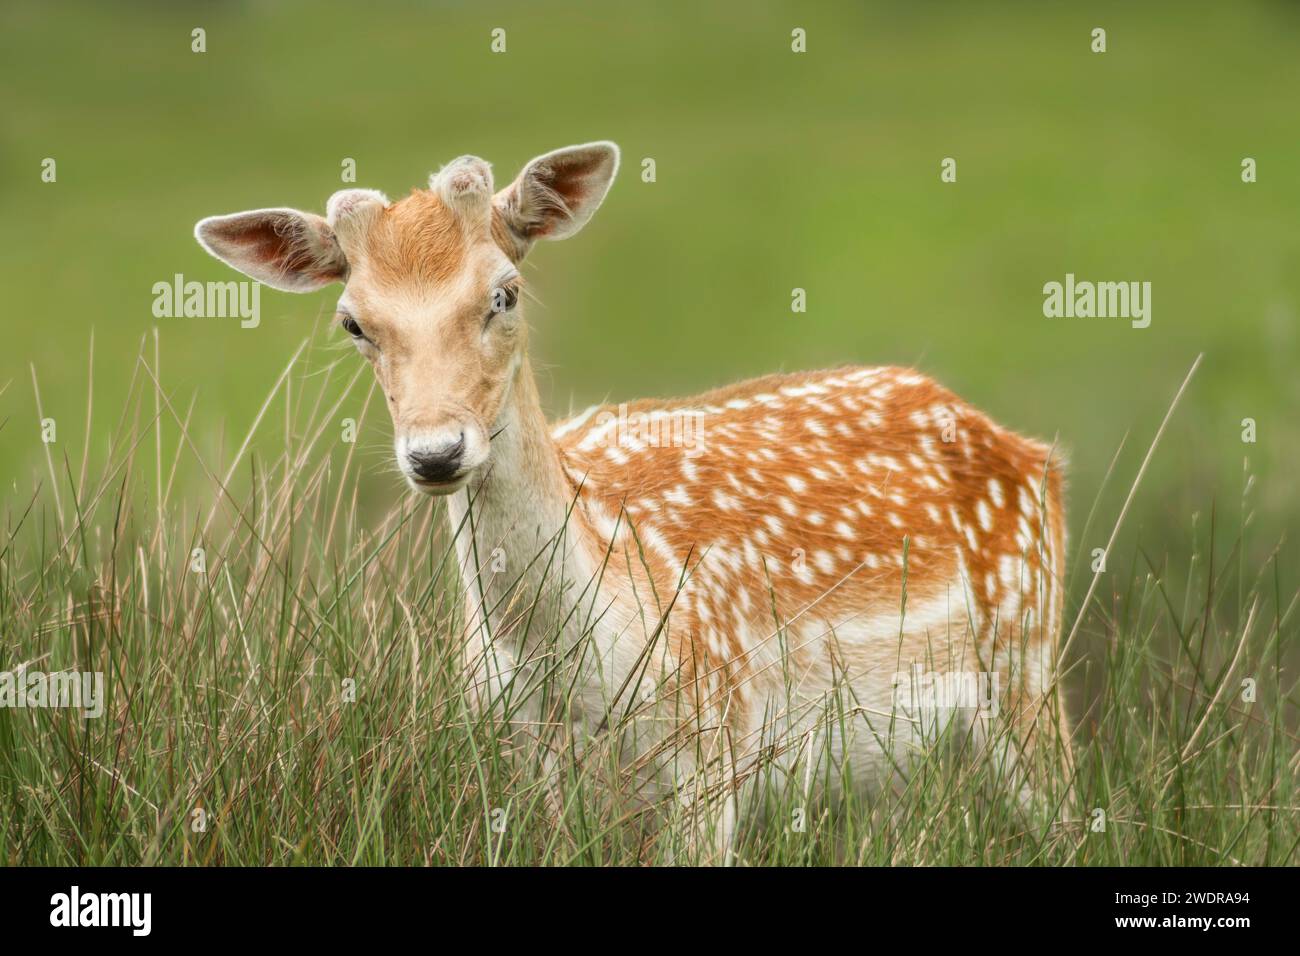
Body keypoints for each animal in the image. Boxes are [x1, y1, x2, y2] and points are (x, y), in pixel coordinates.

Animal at [195, 141, 1073, 861]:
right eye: (353, 322)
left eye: (506, 292)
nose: (437, 453)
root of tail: (1025, 448)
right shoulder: (512, 774)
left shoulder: (713, 752)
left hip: (1028, 667)